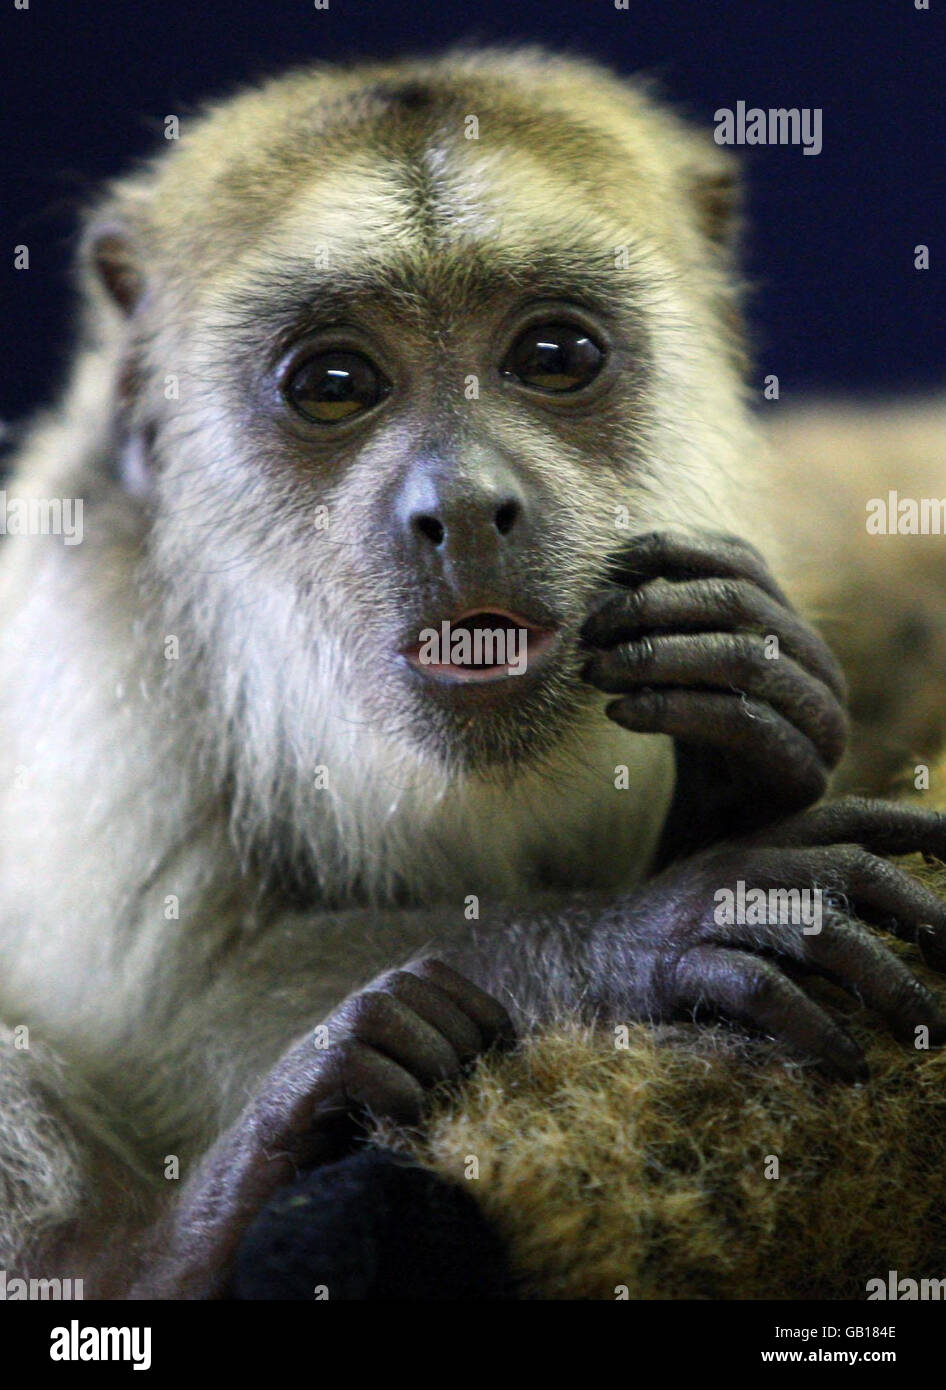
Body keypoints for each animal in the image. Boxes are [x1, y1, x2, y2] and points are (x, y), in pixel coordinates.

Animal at [2, 47, 945, 1300]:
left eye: (554, 356)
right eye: (334, 382)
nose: (458, 504)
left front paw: (745, 757)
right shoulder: (90, 625)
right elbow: (162, 1011)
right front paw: (653, 923)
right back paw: (166, 1249)